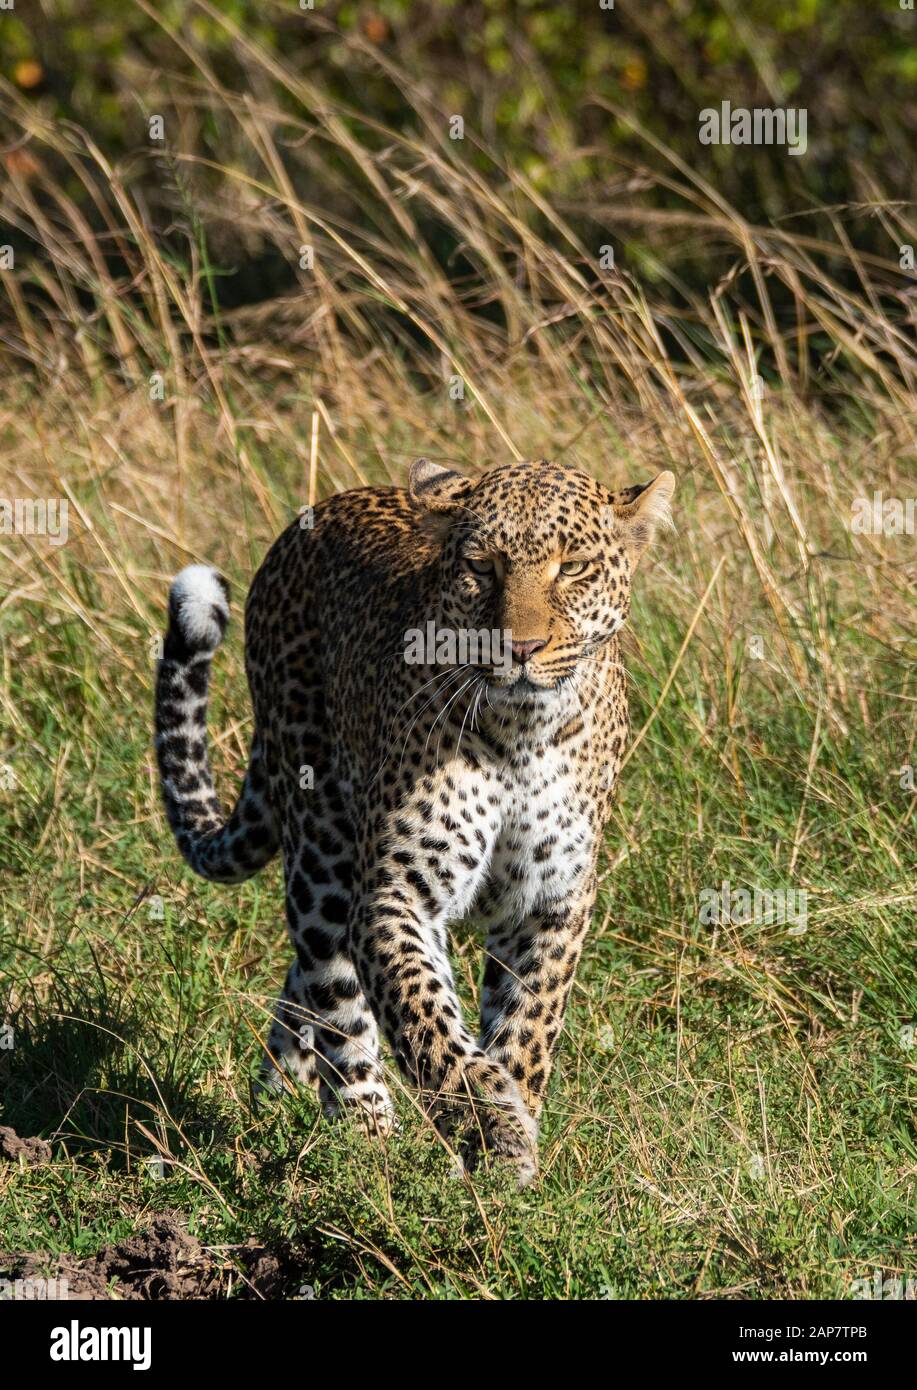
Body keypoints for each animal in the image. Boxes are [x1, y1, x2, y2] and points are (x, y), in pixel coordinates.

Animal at [154, 457, 674, 1184]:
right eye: (481, 567)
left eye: (572, 567)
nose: (521, 648)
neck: (524, 732)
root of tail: (315, 515)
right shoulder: (395, 894)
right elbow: (424, 1017)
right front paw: (492, 1129)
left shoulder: (551, 902)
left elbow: (527, 1025)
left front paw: (507, 1148)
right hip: (321, 845)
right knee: (335, 992)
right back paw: (362, 1140)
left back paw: (276, 1094)